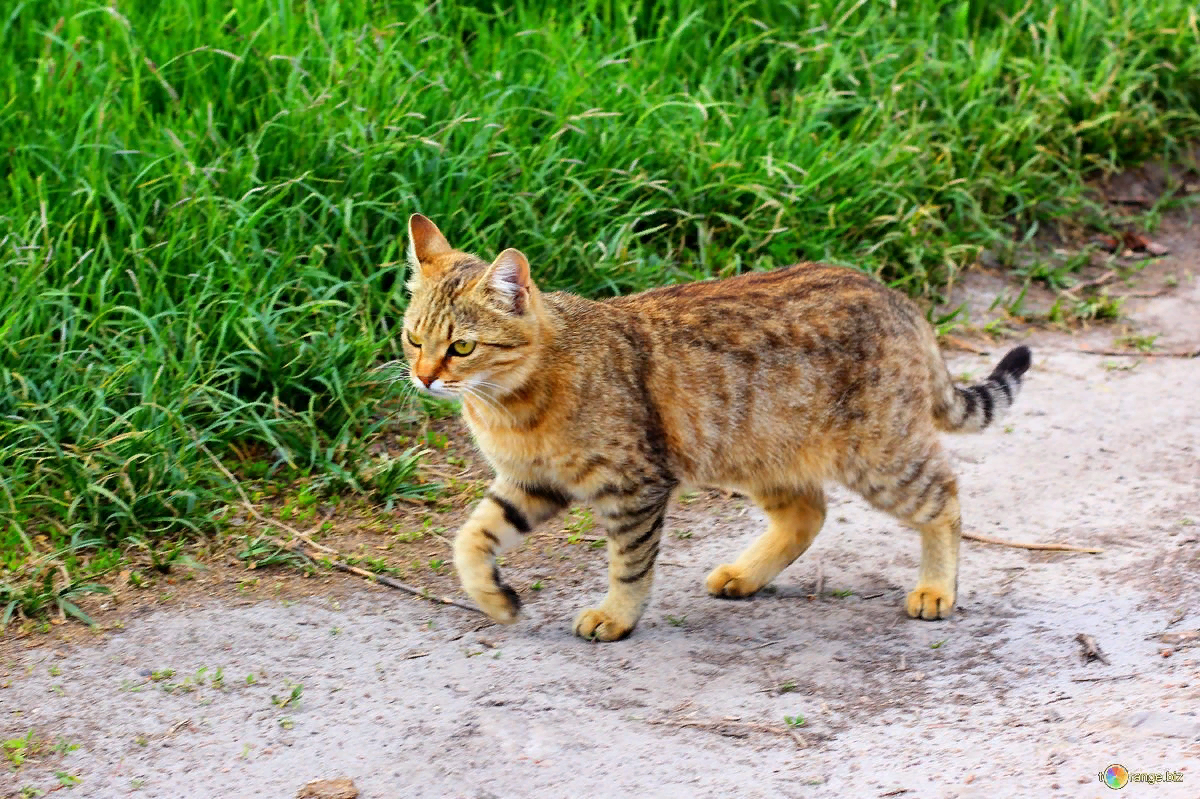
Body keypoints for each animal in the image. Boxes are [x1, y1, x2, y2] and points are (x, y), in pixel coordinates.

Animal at [403, 211, 1032, 643]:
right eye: (413, 338)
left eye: (462, 347)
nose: (423, 377)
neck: (508, 406)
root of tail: (898, 299)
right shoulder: (529, 483)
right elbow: (470, 540)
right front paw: (495, 599)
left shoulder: (634, 485)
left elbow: (630, 565)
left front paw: (616, 616)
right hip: (759, 450)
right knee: (808, 513)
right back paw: (745, 575)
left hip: (880, 457)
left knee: (945, 499)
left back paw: (937, 588)